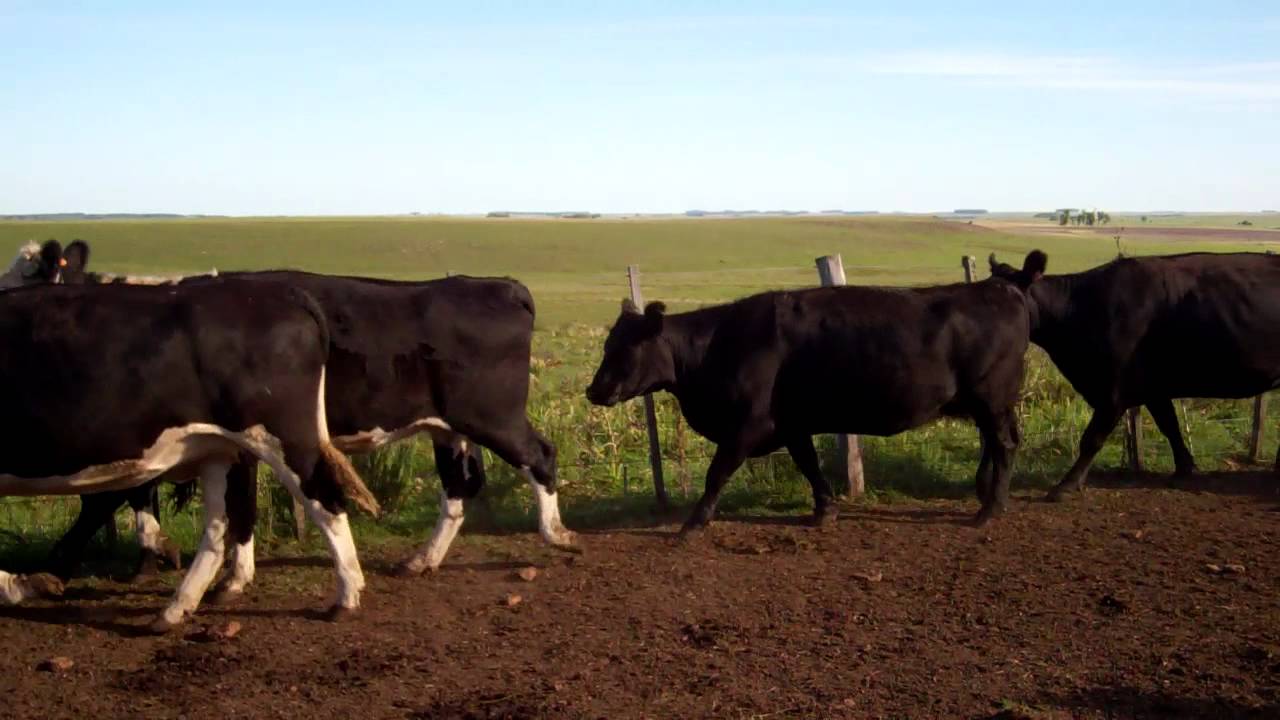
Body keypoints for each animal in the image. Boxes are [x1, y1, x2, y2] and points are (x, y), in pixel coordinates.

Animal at [0, 278, 380, 632]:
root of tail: (279, 292)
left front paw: (18, 584)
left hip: (283, 435)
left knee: (326, 502)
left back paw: (346, 598)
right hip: (217, 449)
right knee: (218, 527)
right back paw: (175, 609)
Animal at [585, 276, 1033, 532]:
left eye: (625, 348)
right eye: (607, 344)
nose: (594, 391)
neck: (719, 345)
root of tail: (1000, 289)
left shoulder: (748, 425)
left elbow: (717, 473)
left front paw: (694, 522)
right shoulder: (790, 424)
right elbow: (809, 465)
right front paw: (824, 510)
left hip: (991, 399)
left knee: (1005, 445)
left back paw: (990, 510)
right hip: (990, 405)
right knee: (1000, 444)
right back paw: (989, 496)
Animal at [989, 250, 1280, 500]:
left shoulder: (1114, 392)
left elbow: (1091, 440)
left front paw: (1066, 486)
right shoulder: (1153, 388)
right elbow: (1169, 425)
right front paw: (1184, 469)